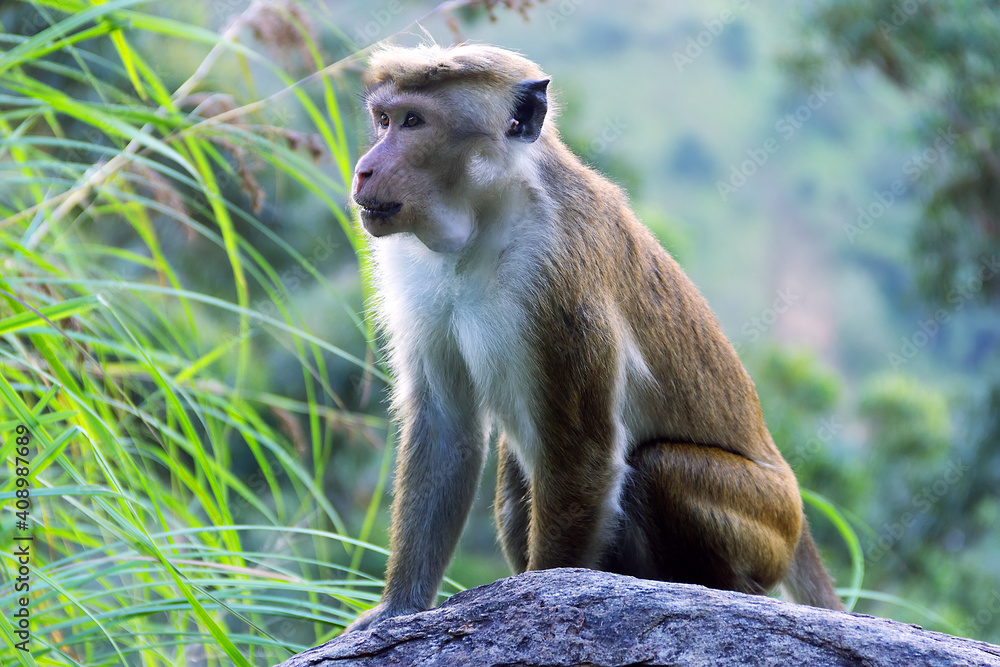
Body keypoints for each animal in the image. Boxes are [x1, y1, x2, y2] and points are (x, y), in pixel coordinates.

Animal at [345, 43, 844, 632]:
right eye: (383, 120)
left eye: (414, 122)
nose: (364, 168)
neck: (487, 219)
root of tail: (796, 517)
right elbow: (447, 427)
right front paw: (397, 608)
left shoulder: (561, 280)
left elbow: (583, 455)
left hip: (765, 526)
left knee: (658, 468)